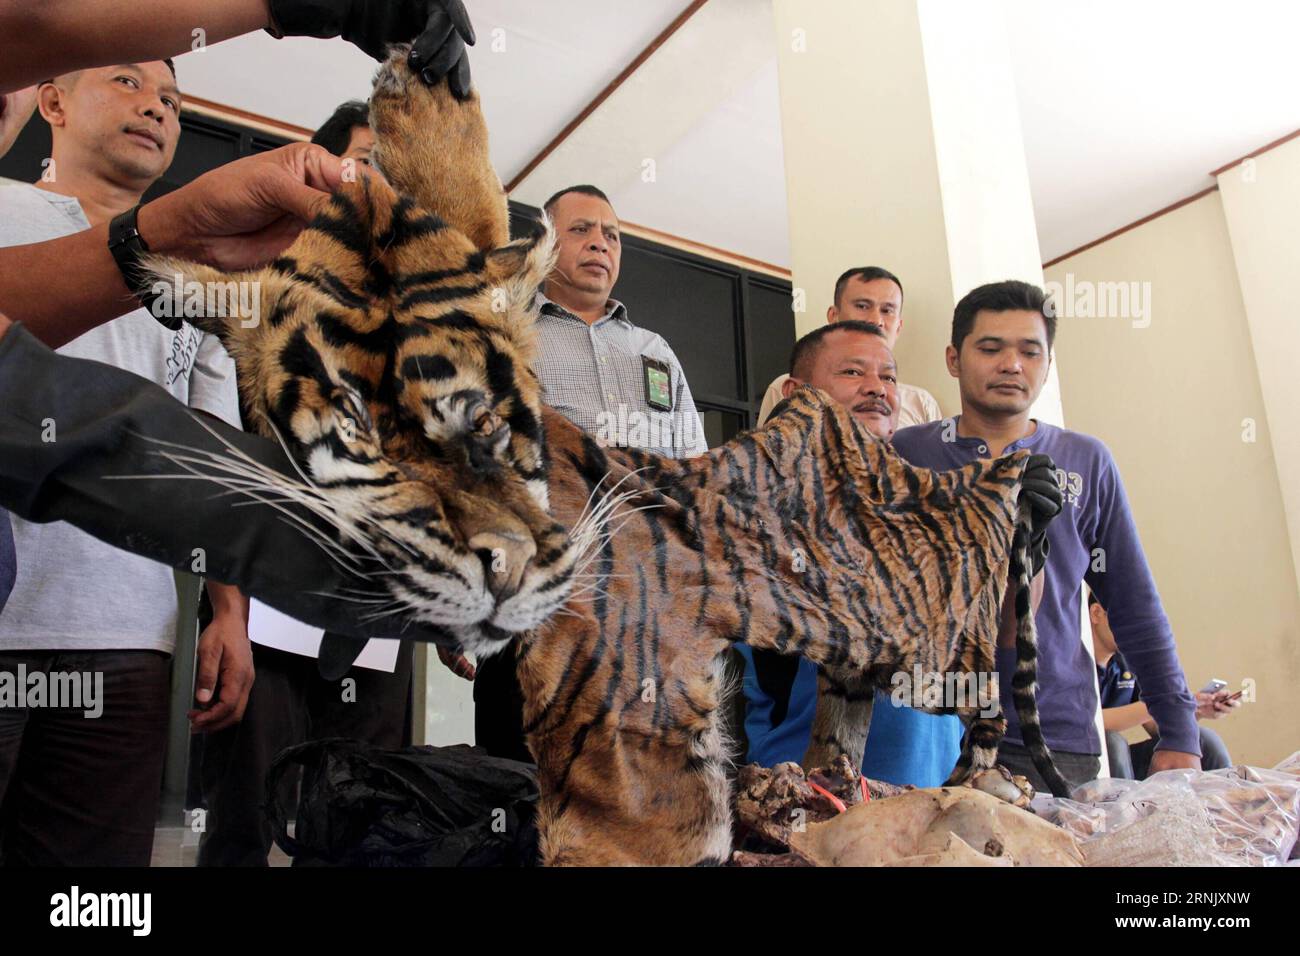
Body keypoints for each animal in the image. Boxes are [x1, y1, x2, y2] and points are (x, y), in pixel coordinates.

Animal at [147, 46, 1069, 866]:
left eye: (485, 419)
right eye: (343, 425)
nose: (492, 568)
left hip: (949, 655)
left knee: (983, 714)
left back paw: (989, 790)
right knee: (844, 721)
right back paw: (838, 783)